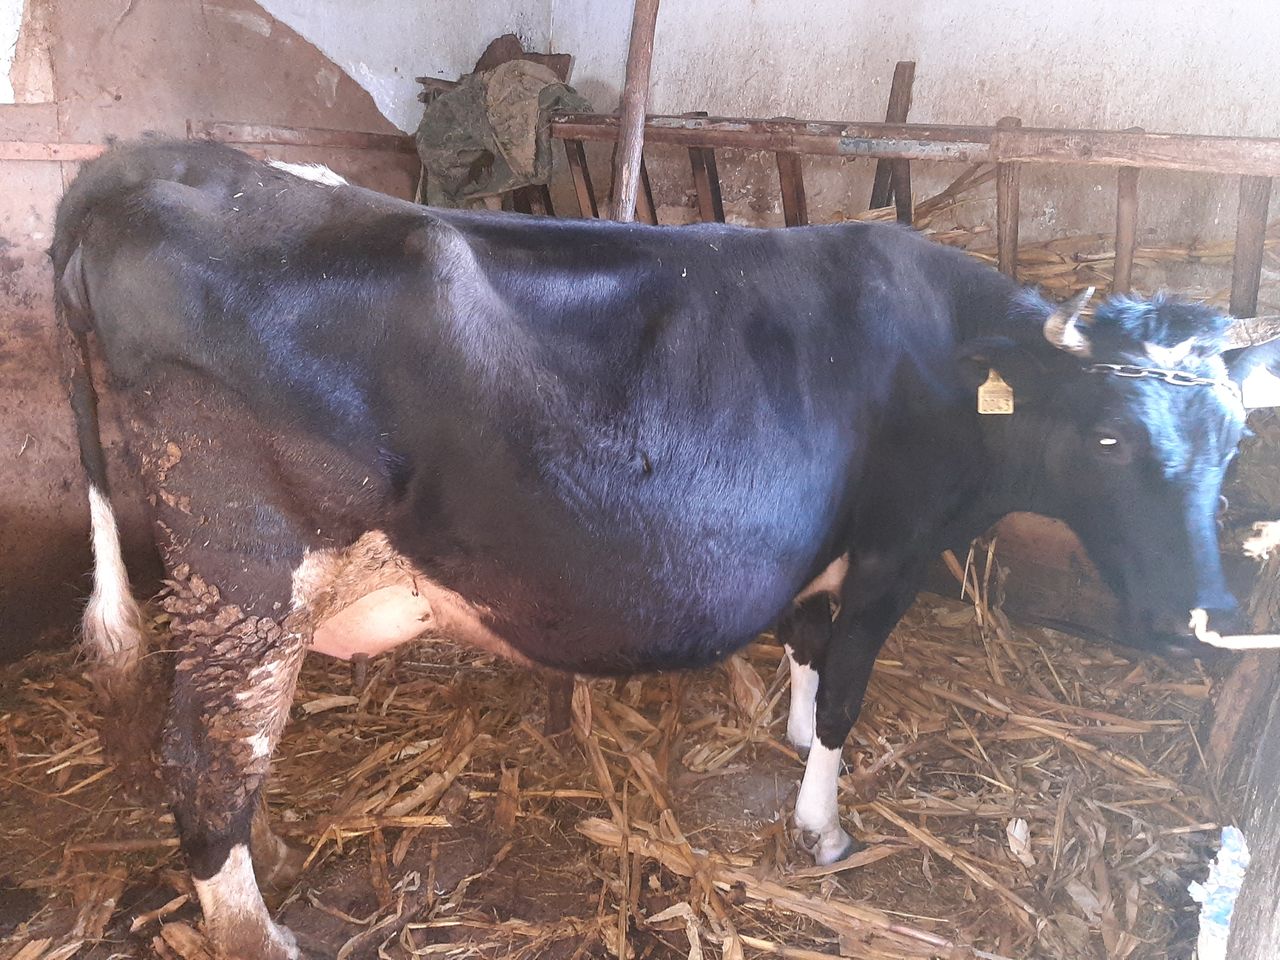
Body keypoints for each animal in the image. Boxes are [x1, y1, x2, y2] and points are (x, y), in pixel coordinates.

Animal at [51, 140, 1279, 959]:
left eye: (1233, 442)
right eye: (1111, 437)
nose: (1202, 611)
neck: (951, 359)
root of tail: (156, 165)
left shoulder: (826, 547)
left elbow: (807, 644)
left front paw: (791, 734)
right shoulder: (894, 547)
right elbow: (847, 686)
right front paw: (823, 829)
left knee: (234, 751)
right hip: (249, 570)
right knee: (208, 759)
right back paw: (259, 929)